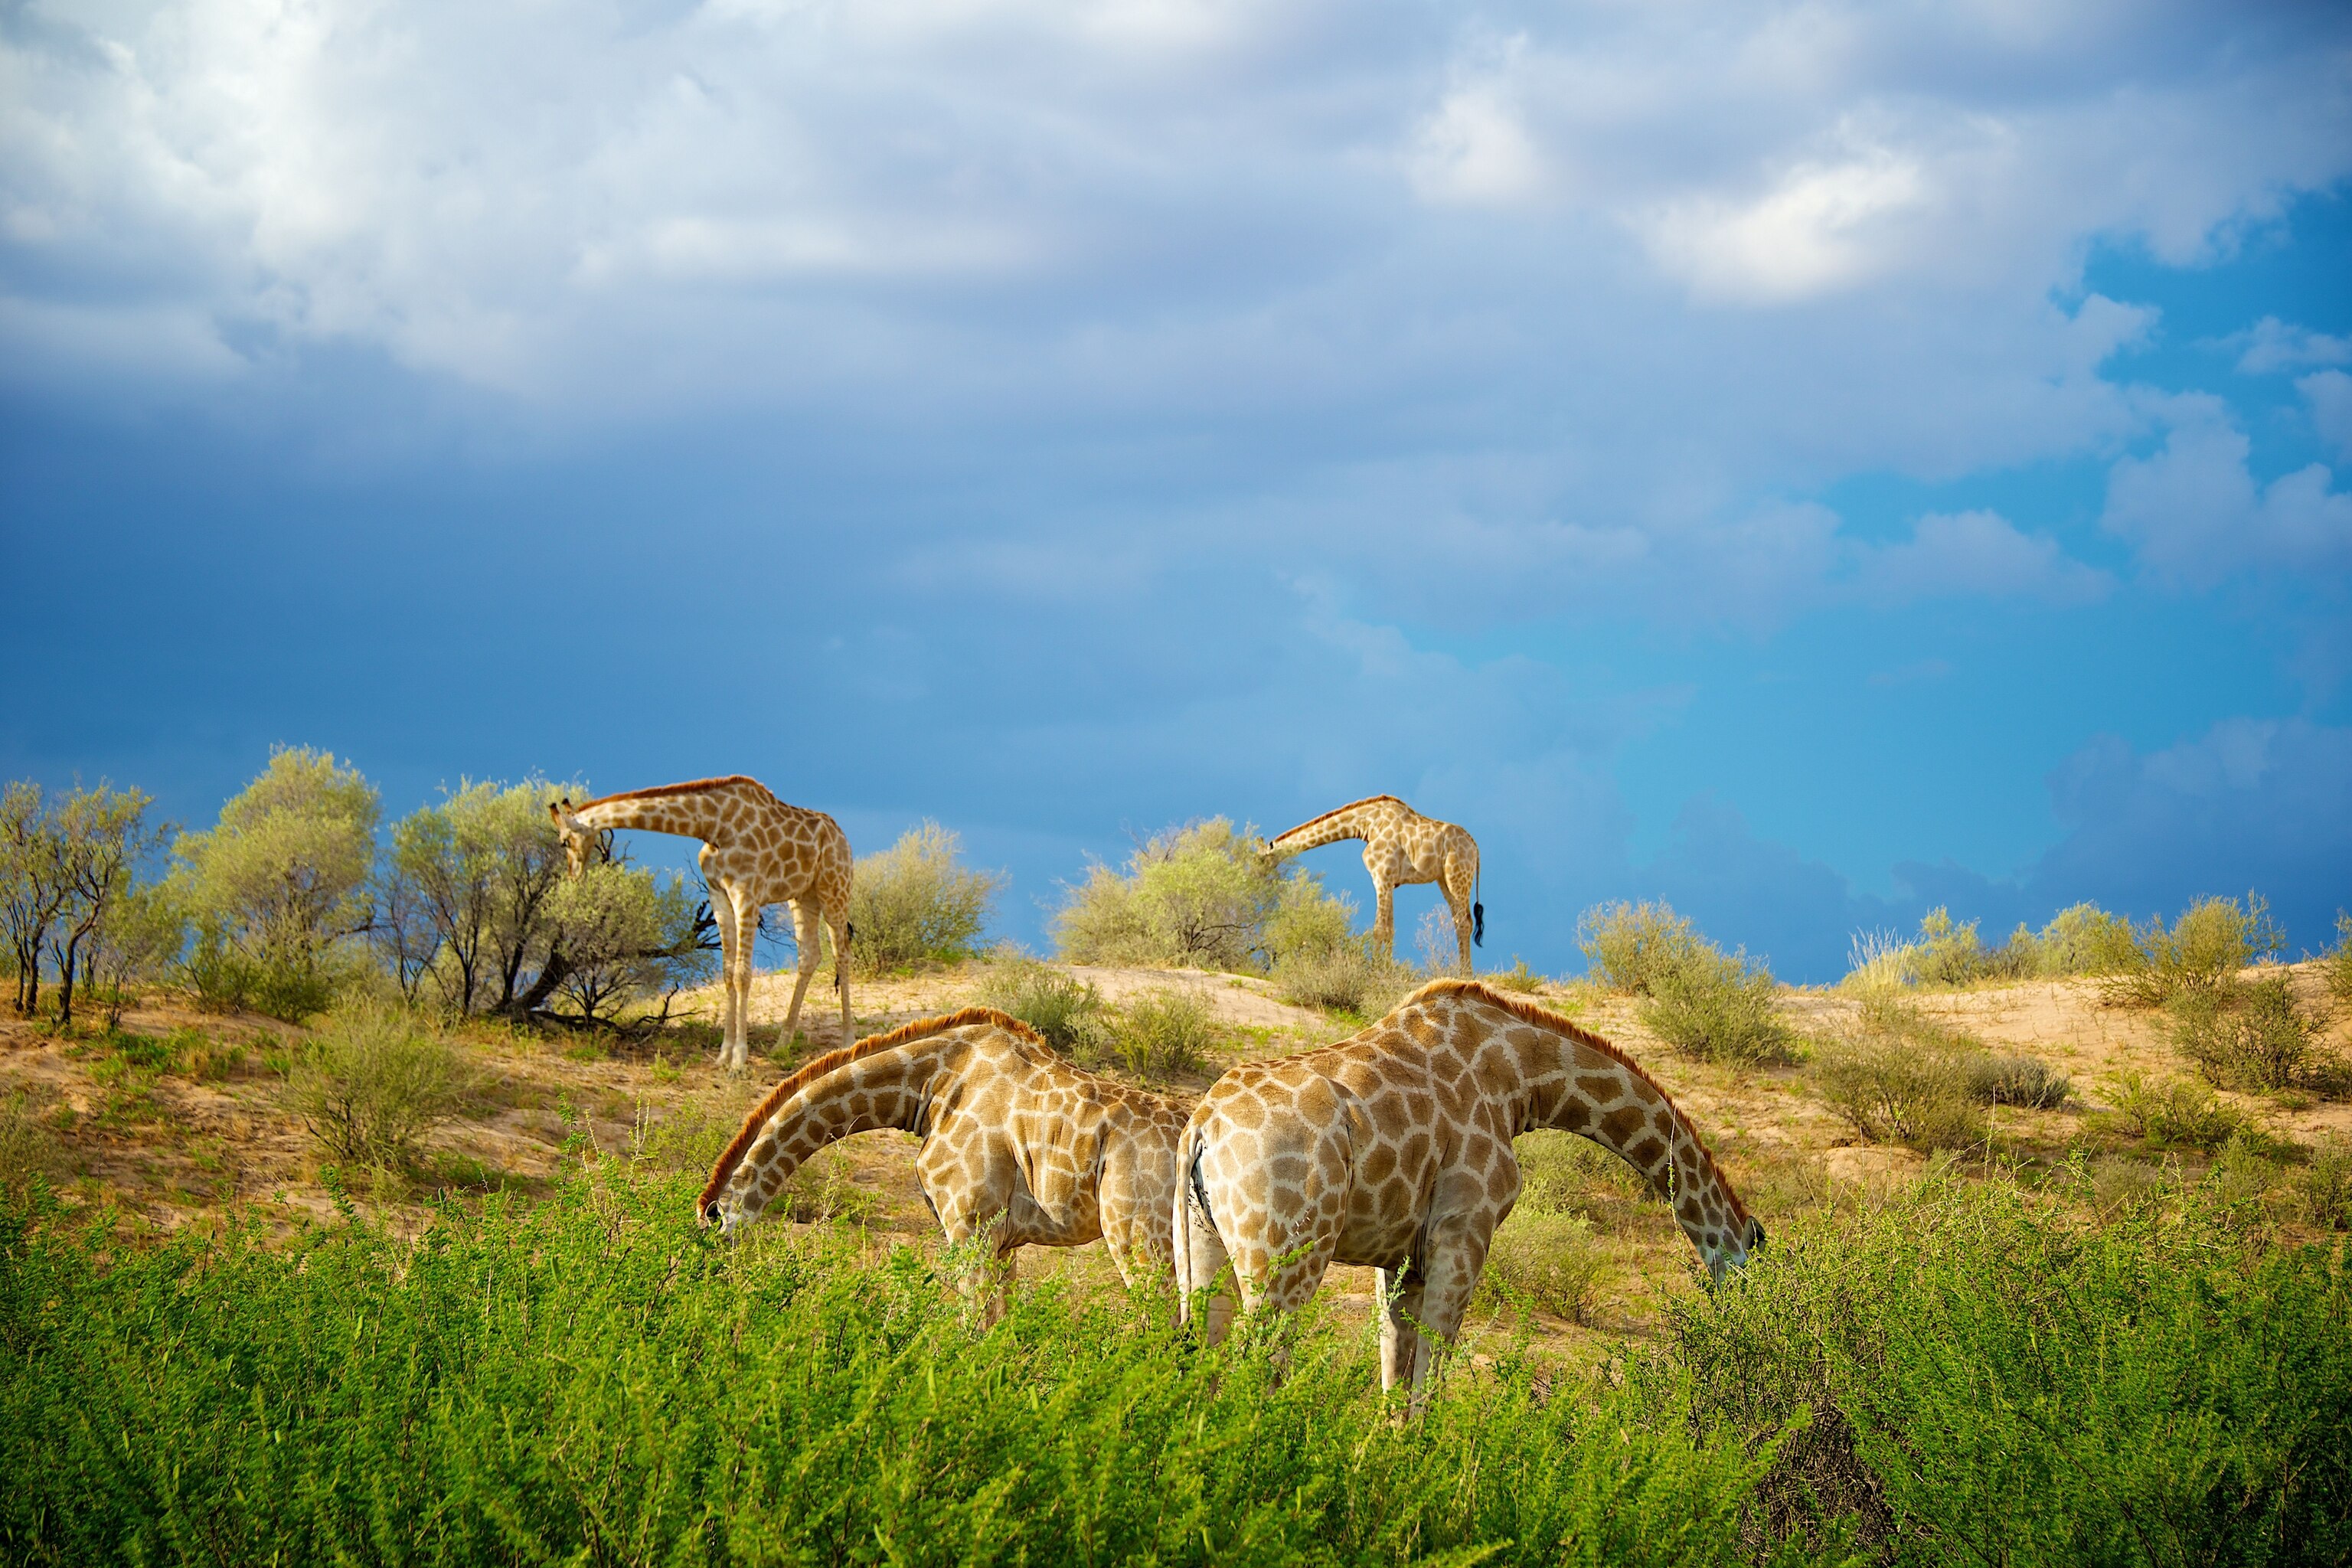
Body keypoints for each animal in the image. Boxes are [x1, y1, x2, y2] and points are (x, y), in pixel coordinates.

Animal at [549, 775, 852, 1071]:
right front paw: (723, 1055)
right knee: (809, 955)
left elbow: (742, 974)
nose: (573, 875)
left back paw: (848, 1042)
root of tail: (843, 838)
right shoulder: (718, 896)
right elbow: (728, 973)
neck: (714, 826)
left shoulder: (746, 894)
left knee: (841, 953)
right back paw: (782, 1044)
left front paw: (739, 1060)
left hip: (834, 889)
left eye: (564, 841)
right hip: (803, 897)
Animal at [700, 1006, 1194, 1317]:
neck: (930, 1086)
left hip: (1138, 1238)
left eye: (711, 1231)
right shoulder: (1000, 1239)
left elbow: (973, 1325)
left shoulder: (968, 1222)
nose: (715, 1285)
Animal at [1173, 978, 1759, 1405]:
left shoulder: (1401, 1258)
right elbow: (1428, 1388)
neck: (1523, 1079)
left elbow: (1394, 1387)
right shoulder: (1464, 1234)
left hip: (1205, 1246)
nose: (1749, 1343)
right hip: (1287, 1254)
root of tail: (1202, 1125)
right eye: (1755, 1277)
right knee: (1256, 1370)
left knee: (1202, 1362)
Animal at [1260, 796, 1482, 974]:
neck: (1367, 824)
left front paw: (1375, 969)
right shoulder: (1390, 881)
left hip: (1457, 877)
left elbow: (1379, 929)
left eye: (1261, 859)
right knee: (1459, 921)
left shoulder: (1381, 876)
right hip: (1443, 880)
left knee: (1465, 922)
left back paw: (1465, 975)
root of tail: (1476, 849)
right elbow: (1390, 929)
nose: (1260, 876)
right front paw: (1387, 969)